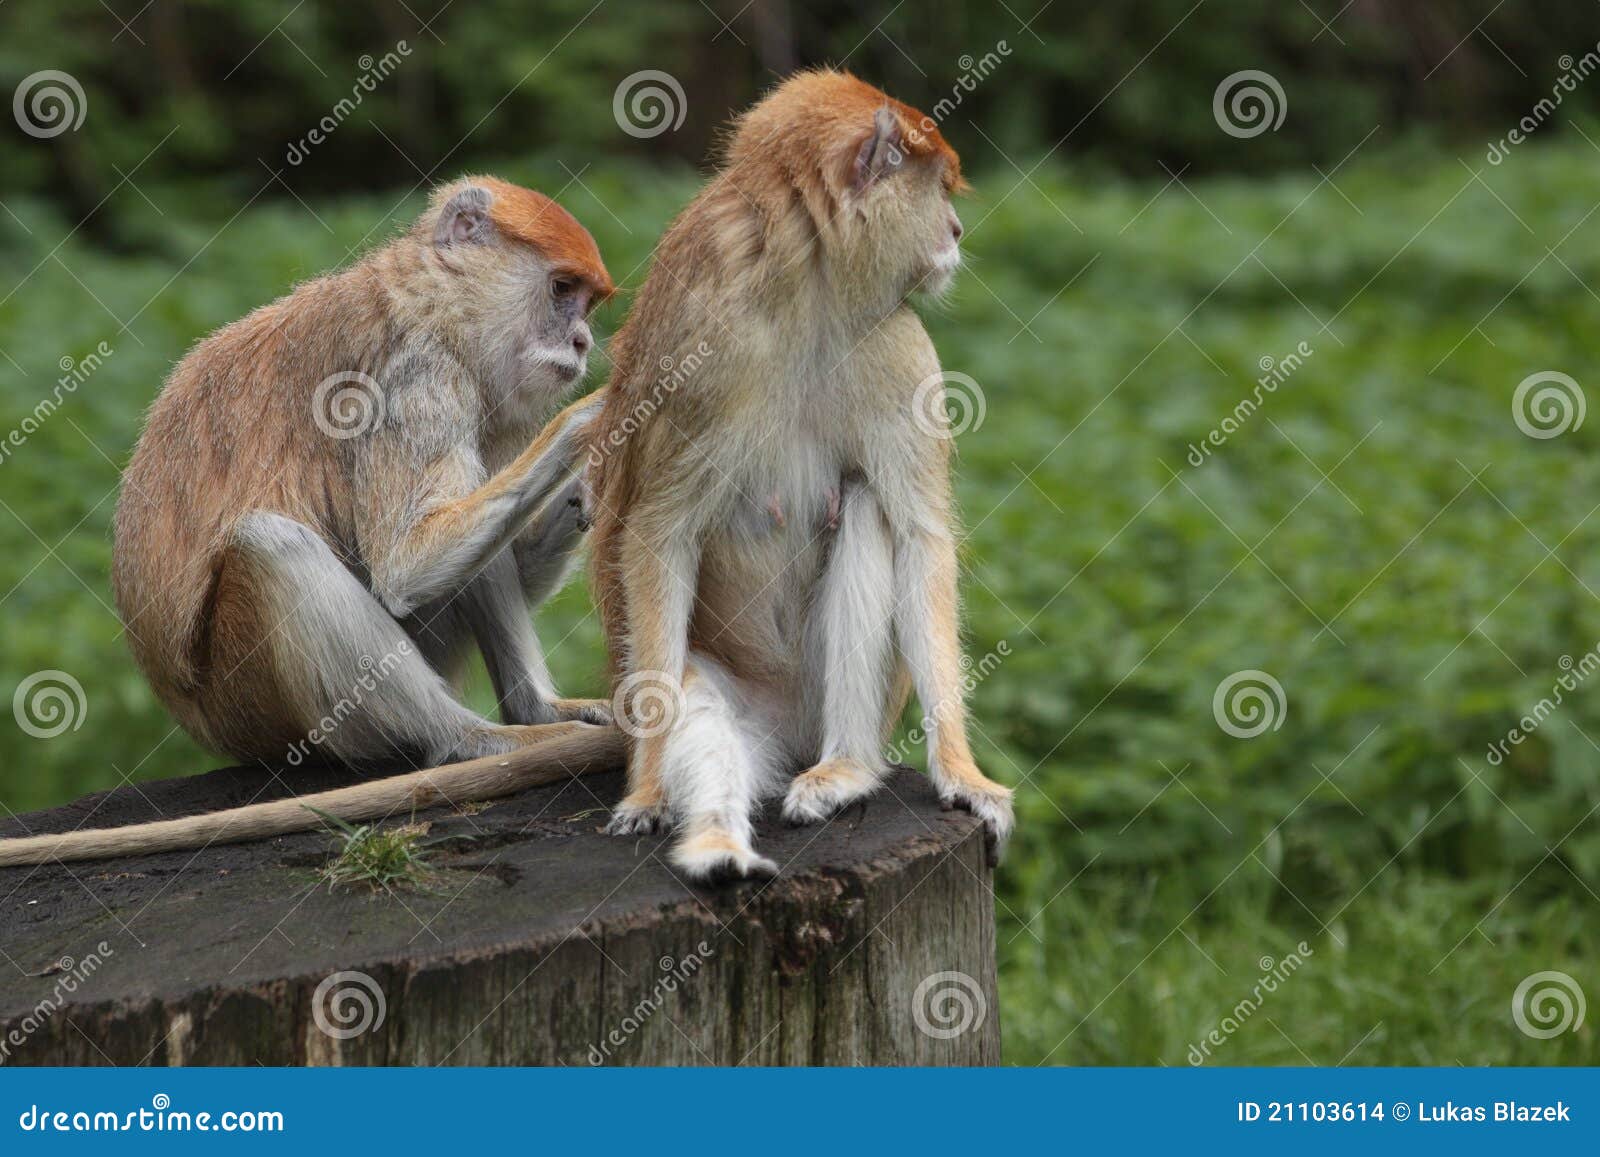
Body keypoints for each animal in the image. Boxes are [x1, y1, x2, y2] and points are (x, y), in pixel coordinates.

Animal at [0, 176, 627, 868]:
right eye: (561, 290)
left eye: (587, 302)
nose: (582, 343)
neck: (436, 299)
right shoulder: (415, 380)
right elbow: (406, 569)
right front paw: (597, 416)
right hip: (254, 699)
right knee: (270, 544)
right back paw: (475, 739)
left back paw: (533, 708)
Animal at [588, 71, 1015, 882]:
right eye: (936, 189)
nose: (954, 232)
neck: (810, 284)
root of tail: (792, 738)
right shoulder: (704, 345)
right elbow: (659, 533)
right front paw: (649, 788)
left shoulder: (899, 346)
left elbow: (920, 537)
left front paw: (963, 773)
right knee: (706, 719)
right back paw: (720, 845)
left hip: (828, 704)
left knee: (866, 501)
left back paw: (843, 770)